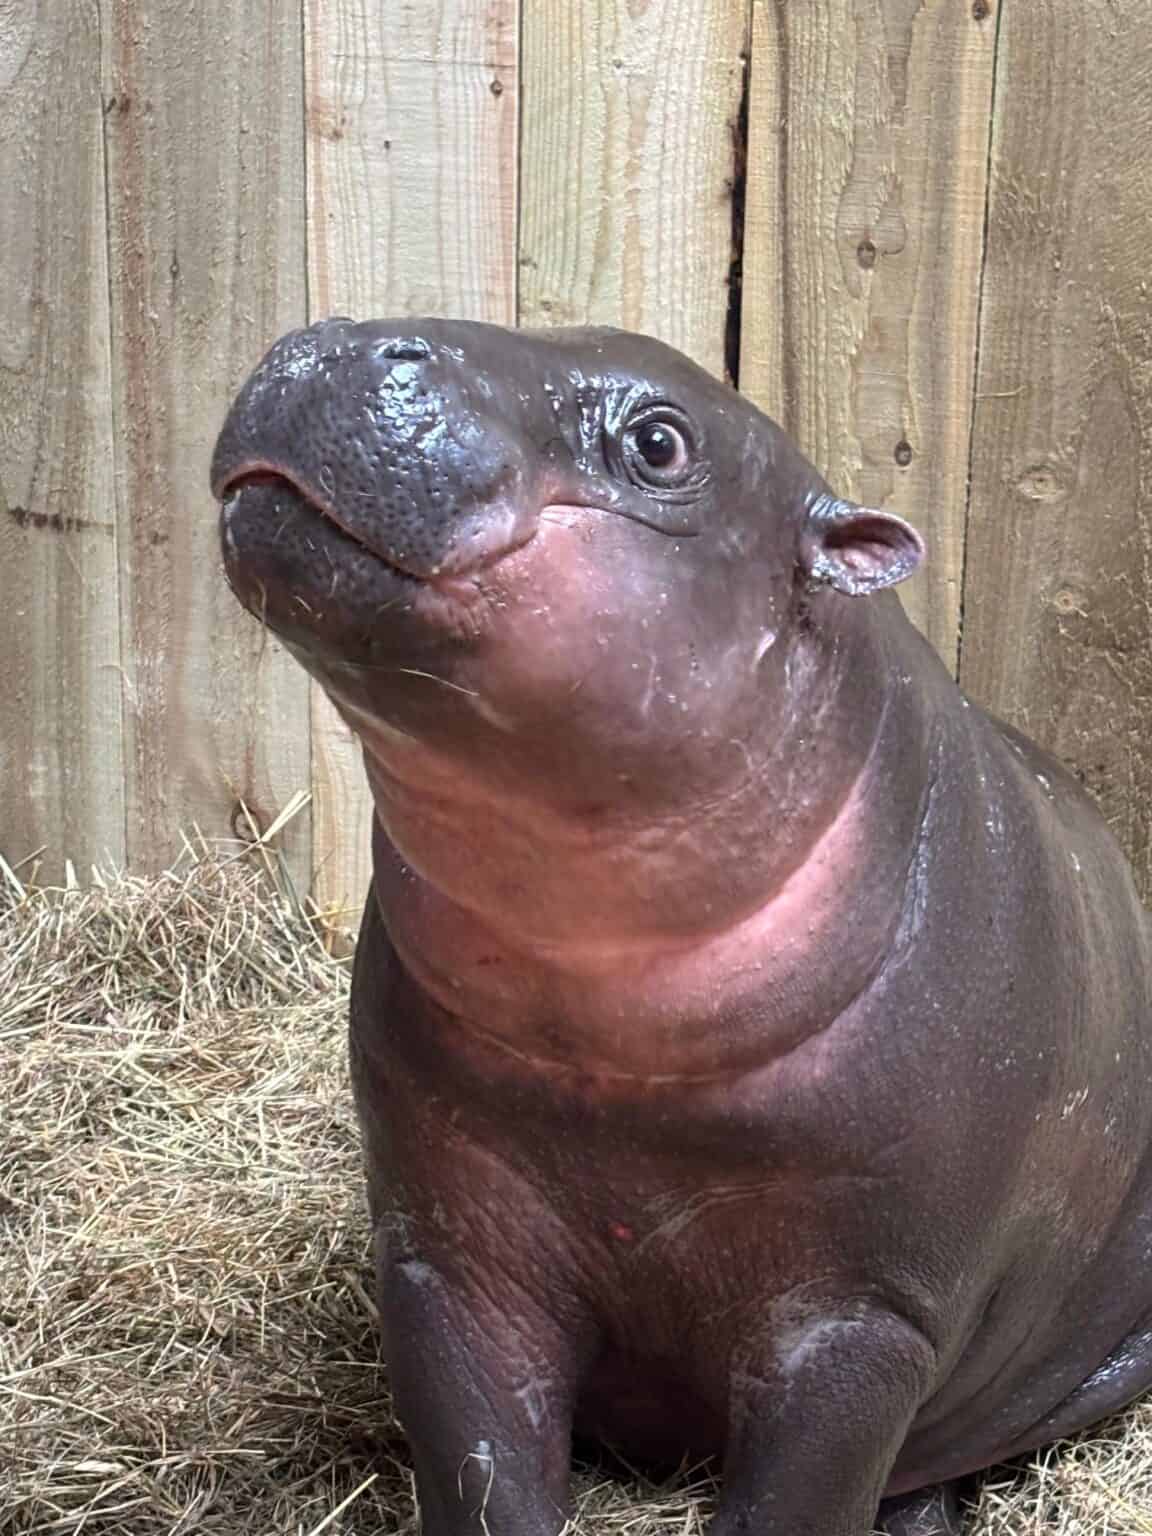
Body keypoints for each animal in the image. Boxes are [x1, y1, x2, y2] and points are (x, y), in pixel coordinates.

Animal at [212, 318, 1152, 1536]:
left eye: (659, 443)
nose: (332, 342)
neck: (603, 1005)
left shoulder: (866, 1316)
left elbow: (797, 1500)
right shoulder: (449, 1253)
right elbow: (481, 1469)